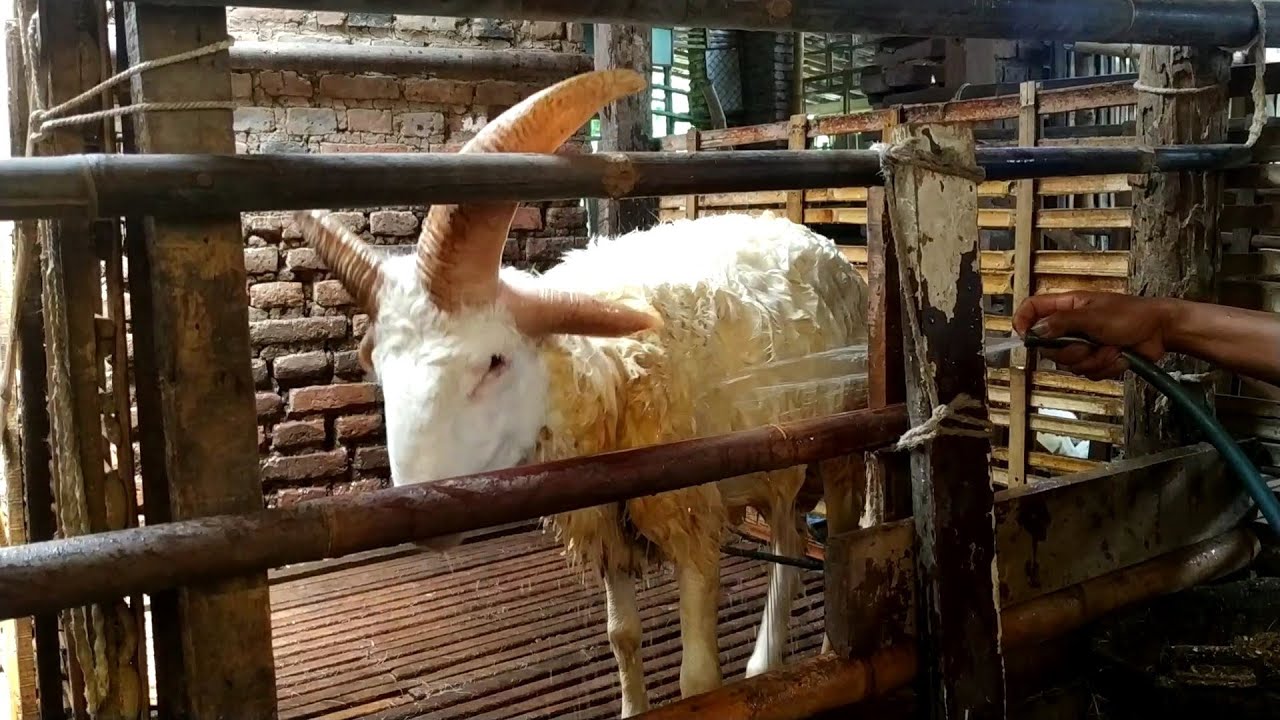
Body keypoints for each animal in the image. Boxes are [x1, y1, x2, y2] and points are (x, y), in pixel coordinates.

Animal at [293, 68, 871, 717]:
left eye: (494, 361)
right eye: (378, 365)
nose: (423, 519)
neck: (610, 367)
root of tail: (808, 235)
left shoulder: (691, 518)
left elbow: (698, 681)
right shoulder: (605, 527)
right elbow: (623, 637)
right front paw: (633, 704)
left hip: (842, 443)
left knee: (840, 536)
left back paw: (830, 651)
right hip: (779, 453)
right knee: (789, 532)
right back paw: (765, 662)